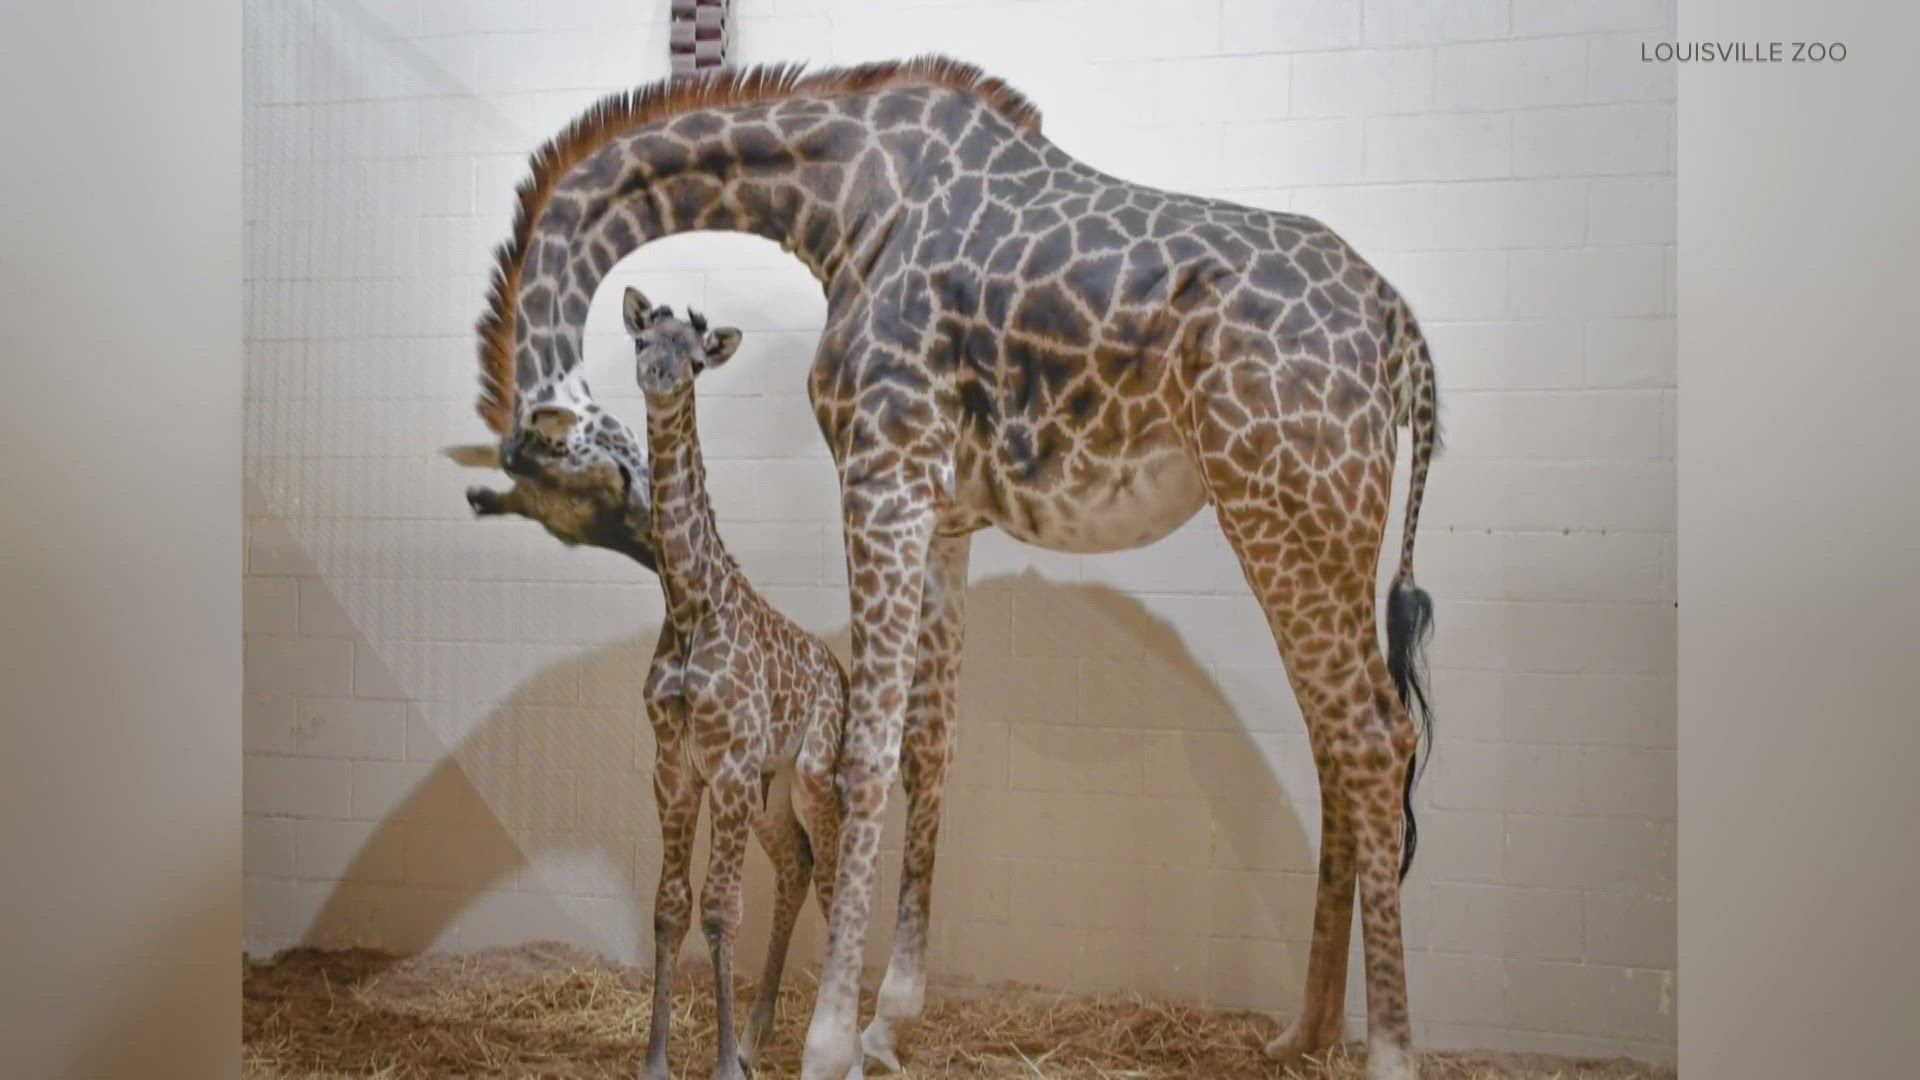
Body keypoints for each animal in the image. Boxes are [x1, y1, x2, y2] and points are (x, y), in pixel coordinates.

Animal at [448, 295, 852, 1080]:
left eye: (694, 356)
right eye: (643, 340)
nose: (658, 376)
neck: (692, 605)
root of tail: (841, 673)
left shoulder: (728, 766)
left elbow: (721, 909)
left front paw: (722, 1068)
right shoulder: (676, 768)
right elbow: (671, 907)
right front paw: (660, 1060)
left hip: (812, 774)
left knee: (833, 873)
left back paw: (835, 1053)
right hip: (771, 788)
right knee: (796, 868)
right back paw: (756, 1037)